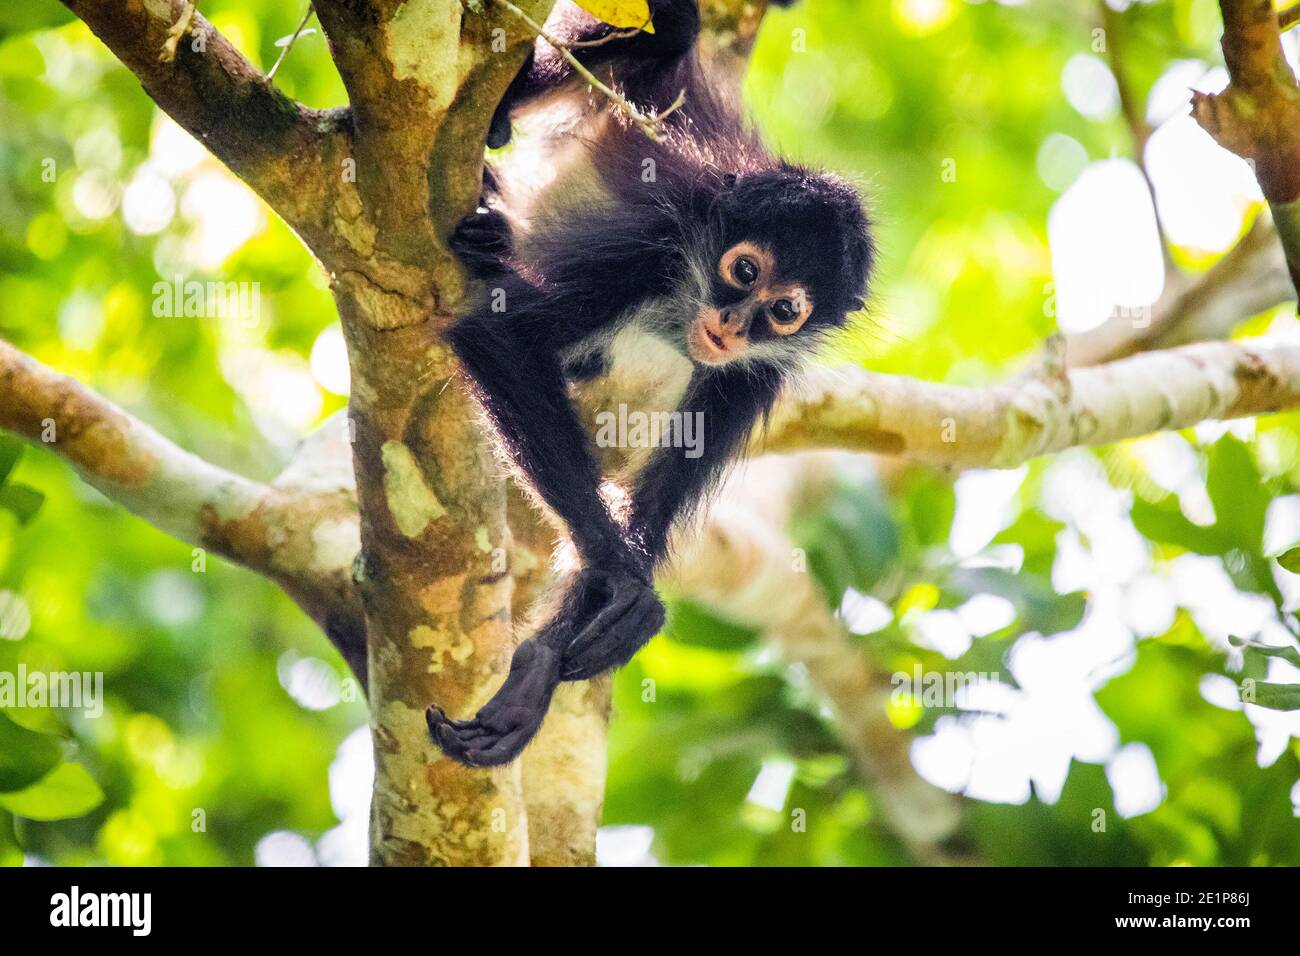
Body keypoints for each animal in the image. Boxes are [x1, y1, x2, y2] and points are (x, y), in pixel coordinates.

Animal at [426, 0, 873, 767]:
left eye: (784, 311)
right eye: (744, 271)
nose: (732, 324)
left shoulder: (755, 376)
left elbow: (650, 513)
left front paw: (539, 669)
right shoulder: (648, 252)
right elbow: (499, 335)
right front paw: (619, 577)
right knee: (674, 26)